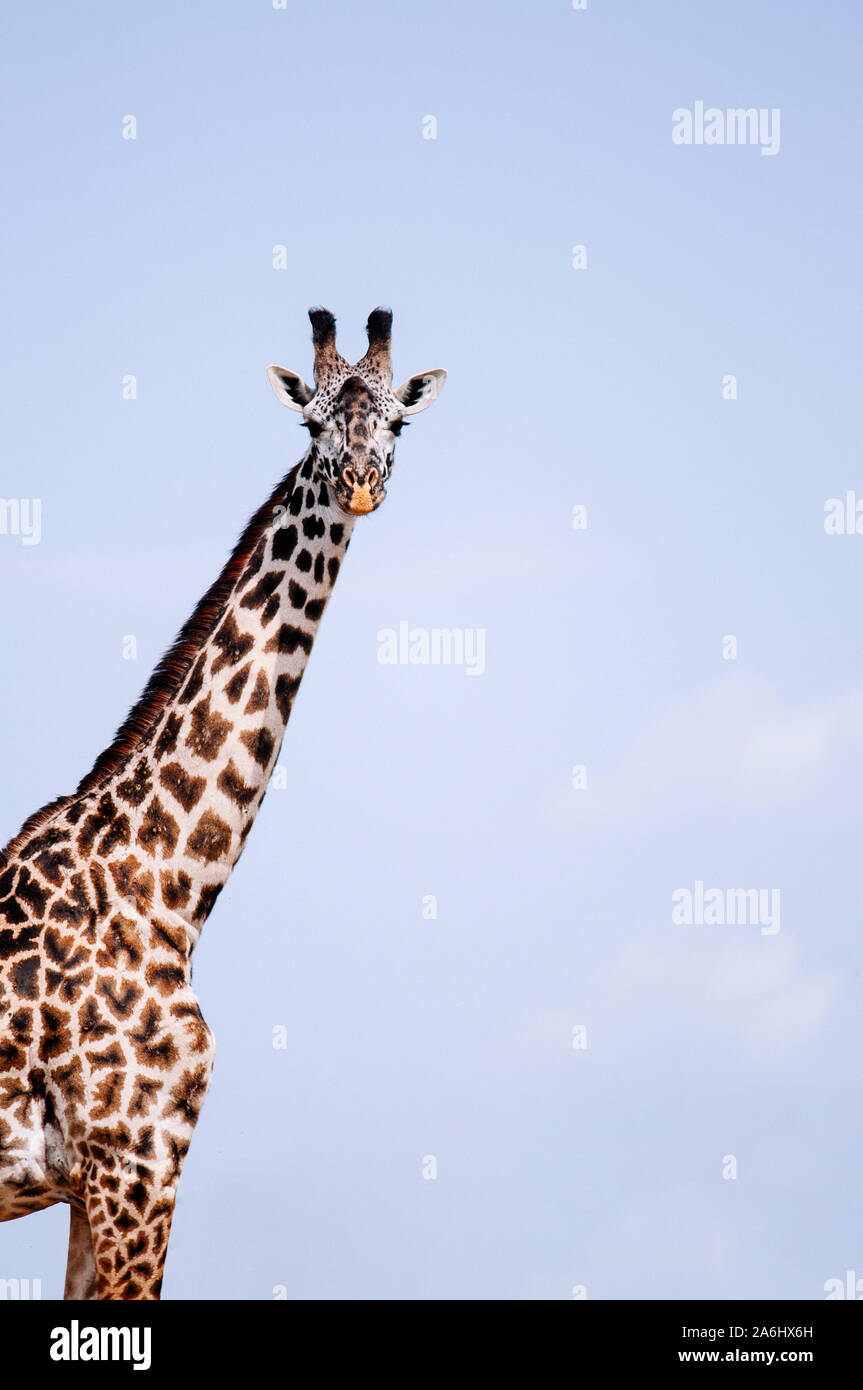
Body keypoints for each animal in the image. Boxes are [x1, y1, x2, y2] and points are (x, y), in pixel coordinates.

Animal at [0, 308, 445, 1300]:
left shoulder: (103, 1183)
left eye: (397, 423)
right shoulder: (134, 1162)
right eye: (311, 425)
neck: (163, 880)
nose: (359, 485)